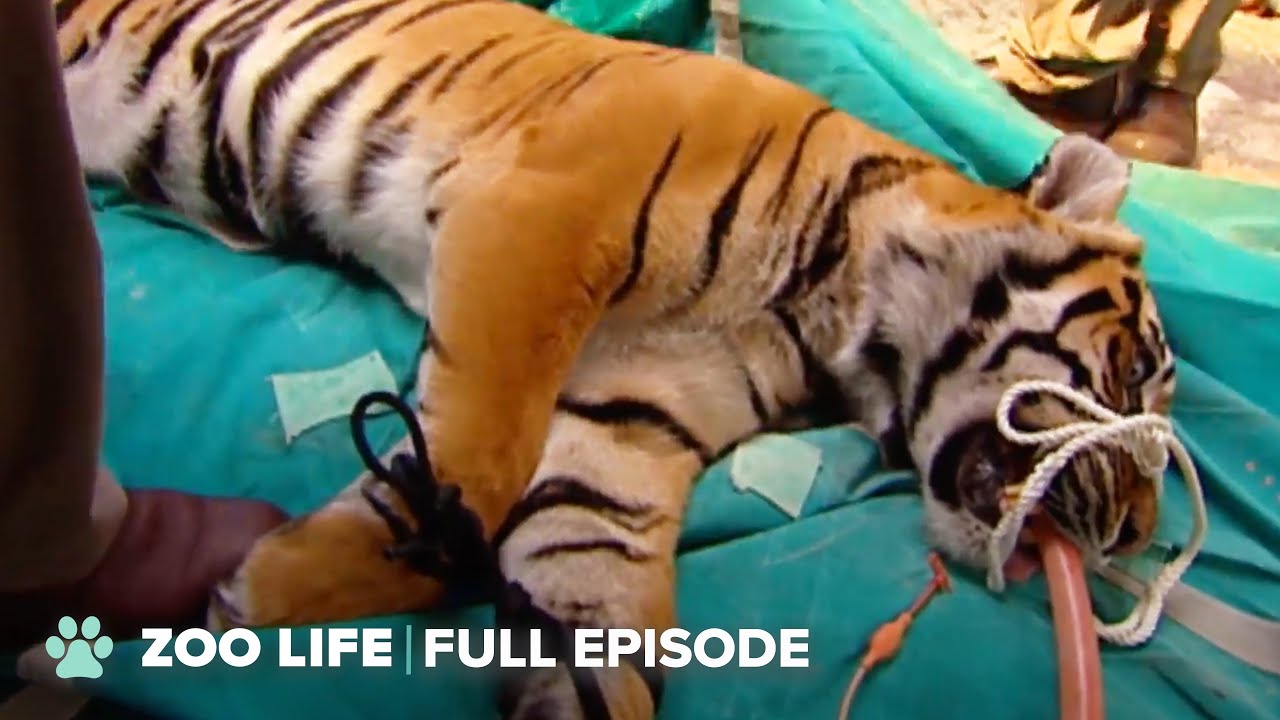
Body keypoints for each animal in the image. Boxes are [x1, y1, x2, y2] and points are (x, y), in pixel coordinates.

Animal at [54, 0, 1177, 717]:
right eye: (1127, 374)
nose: (1132, 535)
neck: (826, 321)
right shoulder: (538, 218)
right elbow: (478, 457)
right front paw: (267, 594)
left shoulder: (631, 414)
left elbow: (595, 570)